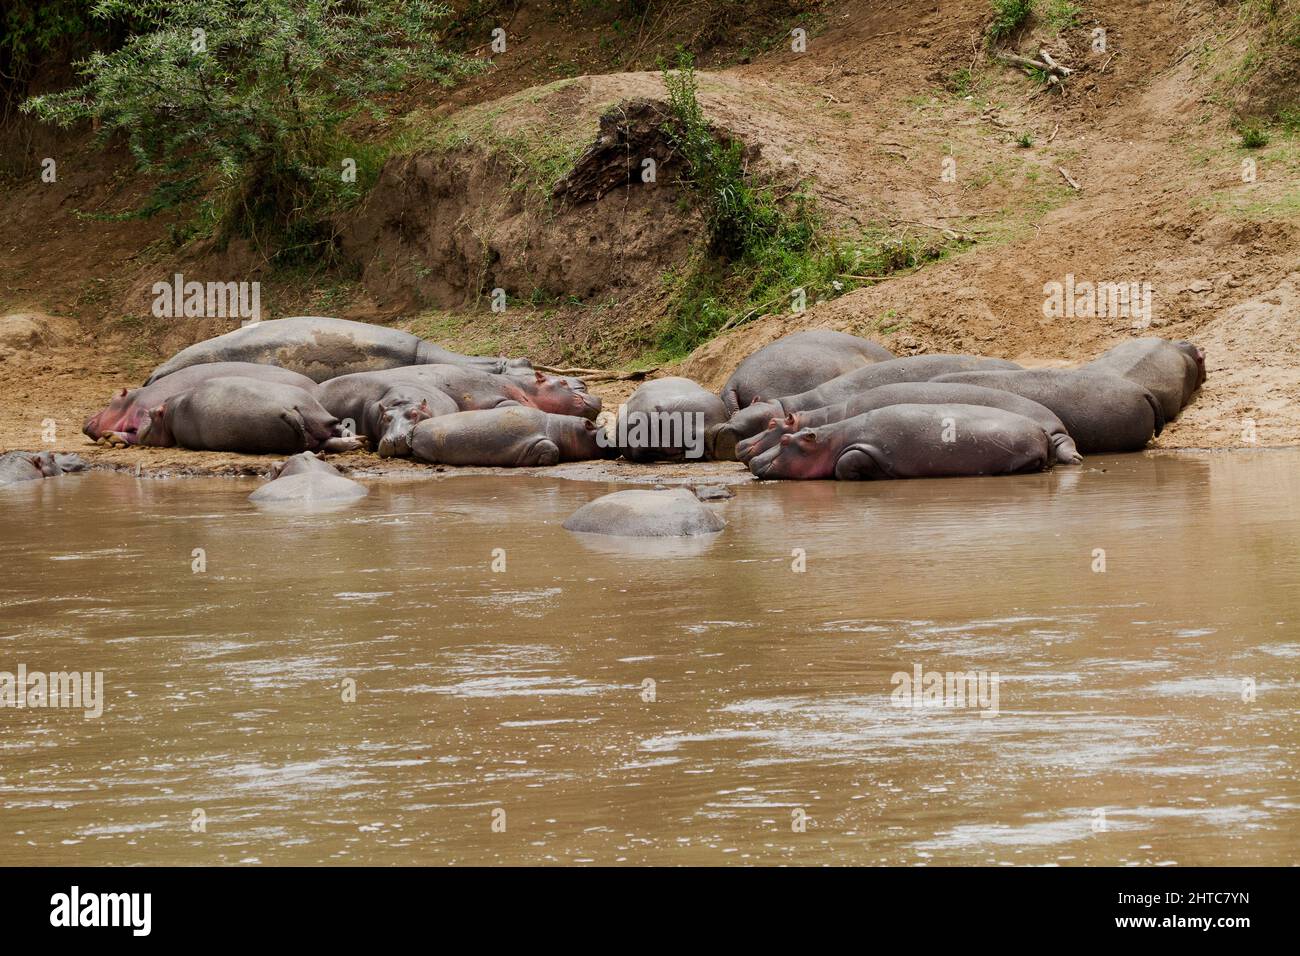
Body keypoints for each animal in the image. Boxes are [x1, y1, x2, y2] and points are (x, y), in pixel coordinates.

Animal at [85, 362, 320, 444]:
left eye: (114, 397)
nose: (87, 420)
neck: (133, 400)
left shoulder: (145, 412)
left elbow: (138, 435)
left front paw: (110, 438)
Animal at [140, 376, 365, 454]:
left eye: (152, 414)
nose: (140, 427)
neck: (170, 411)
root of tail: (288, 409)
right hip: (316, 413)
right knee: (333, 434)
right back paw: (357, 441)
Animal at [748, 404, 1053, 481]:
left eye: (785, 439)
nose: (752, 460)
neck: (828, 441)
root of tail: (1041, 427)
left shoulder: (863, 449)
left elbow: (846, 462)